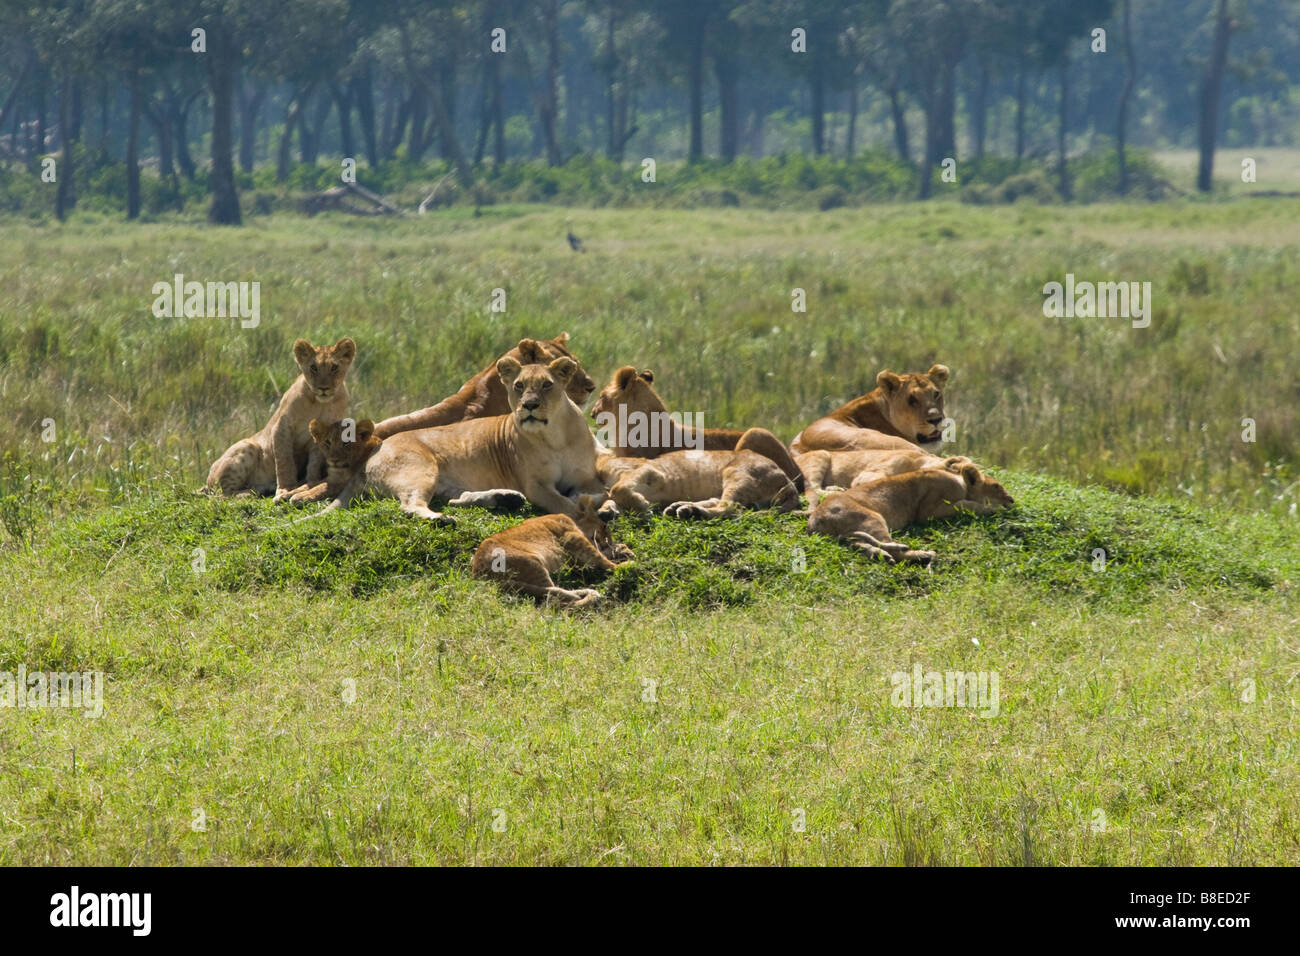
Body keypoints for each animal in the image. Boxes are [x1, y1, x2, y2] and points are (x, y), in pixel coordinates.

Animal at [203, 337, 356, 499]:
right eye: (314, 368)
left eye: (334, 367)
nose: (323, 388)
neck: (320, 403)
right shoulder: (281, 426)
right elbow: (284, 461)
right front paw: (286, 489)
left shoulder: (321, 435)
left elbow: (314, 463)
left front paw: (310, 482)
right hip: (248, 446)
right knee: (221, 494)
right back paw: (253, 491)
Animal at [472, 494, 634, 607]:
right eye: (604, 526)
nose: (609, 540)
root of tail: (478, 573)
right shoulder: (572, 538)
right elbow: (600, 557)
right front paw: (623, 565)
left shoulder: (575, 558)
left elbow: (602, 553)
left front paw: (625, 550)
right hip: (532, 562)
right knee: (554, 602)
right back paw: (589, 595)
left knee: (553, 593)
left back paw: (586, 592)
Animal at [597, 432, 801, 519]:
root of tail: (790, 483)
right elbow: (612, 498)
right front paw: (607, 511)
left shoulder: (649, 470)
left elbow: (617, 488)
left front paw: (641, 506)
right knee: (719, 502)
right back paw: (682, 508)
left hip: (737, 474)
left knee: (730, 508)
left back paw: (690, 512)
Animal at [806, 462, 1013, 565]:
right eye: (996, 486)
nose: (1012, 499)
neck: (959, 481)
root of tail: (815, 519)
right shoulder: (930, 510)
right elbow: (967, 505)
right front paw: (992, 508)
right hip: (872, 518)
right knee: (895, 551)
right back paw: (925, 554)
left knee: (856, 542)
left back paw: (879, 554)